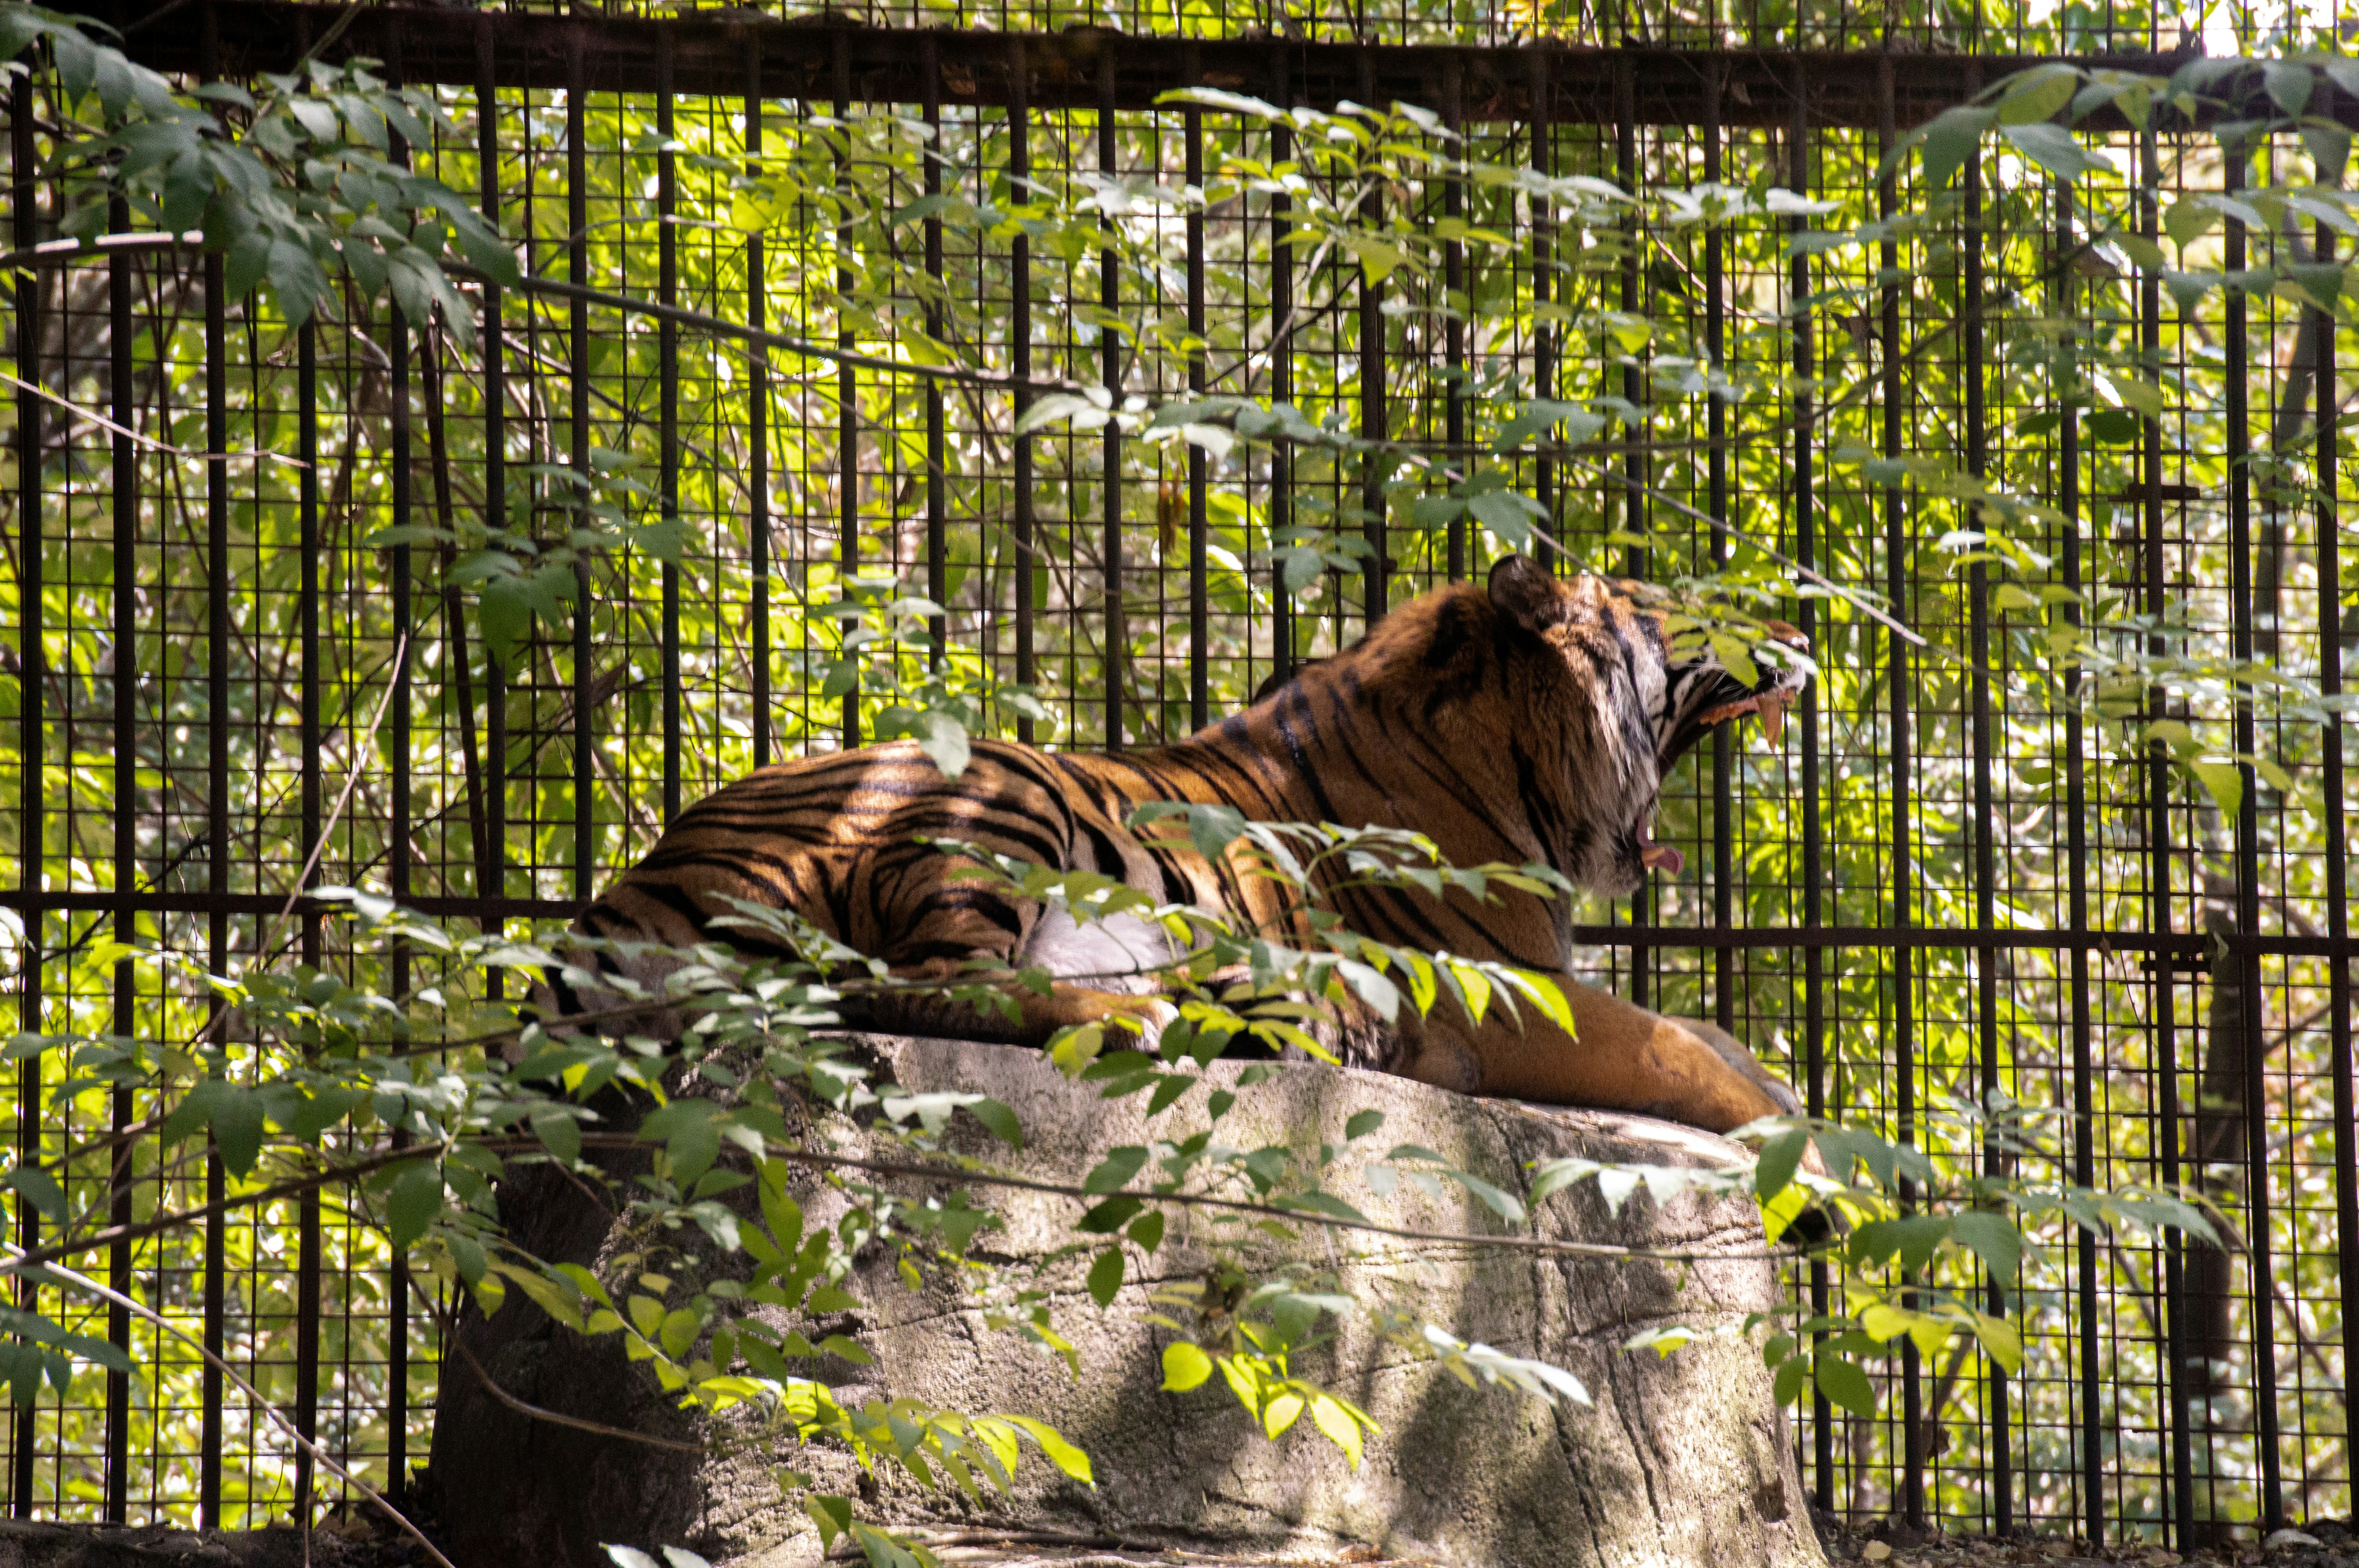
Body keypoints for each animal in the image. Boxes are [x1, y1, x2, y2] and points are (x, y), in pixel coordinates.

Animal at [550, 554, 1811, 1139]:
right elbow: (1682, 1053)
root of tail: (631, 888)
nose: (1802, 632)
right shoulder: (1497, 993)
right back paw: (1139, 1015)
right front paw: (1819, 1172)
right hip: (993, 796)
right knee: (910, 986)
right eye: (1687, 612)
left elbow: (1713, 1038)